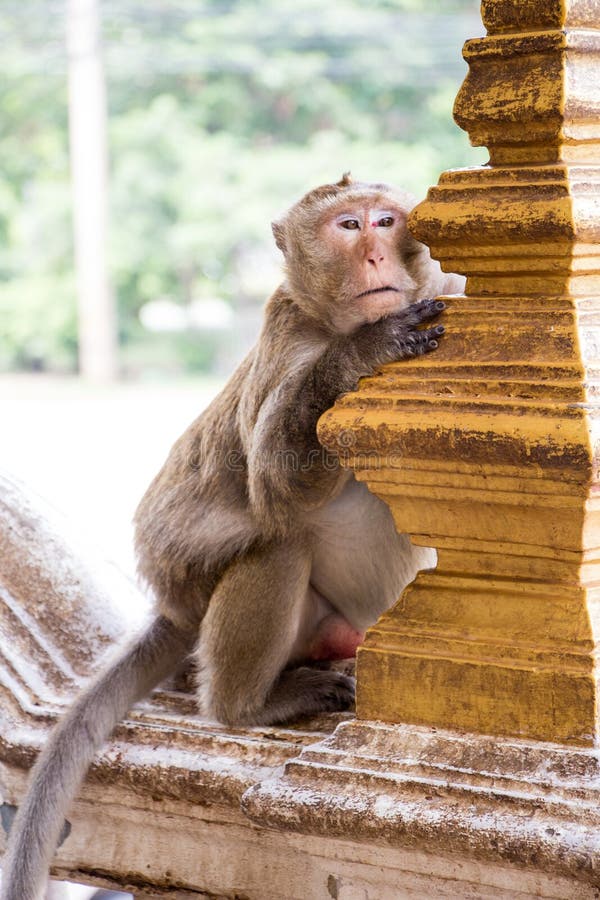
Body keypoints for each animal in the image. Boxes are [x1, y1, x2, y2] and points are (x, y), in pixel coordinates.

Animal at [0, 174, 464, 900]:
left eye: (386, 221)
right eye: (348, 225)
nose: (374, 255)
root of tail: (173, 606)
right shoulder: (285, 341)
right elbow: (276, 487)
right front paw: (362, 353)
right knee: (277, 544)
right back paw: (247, 707)